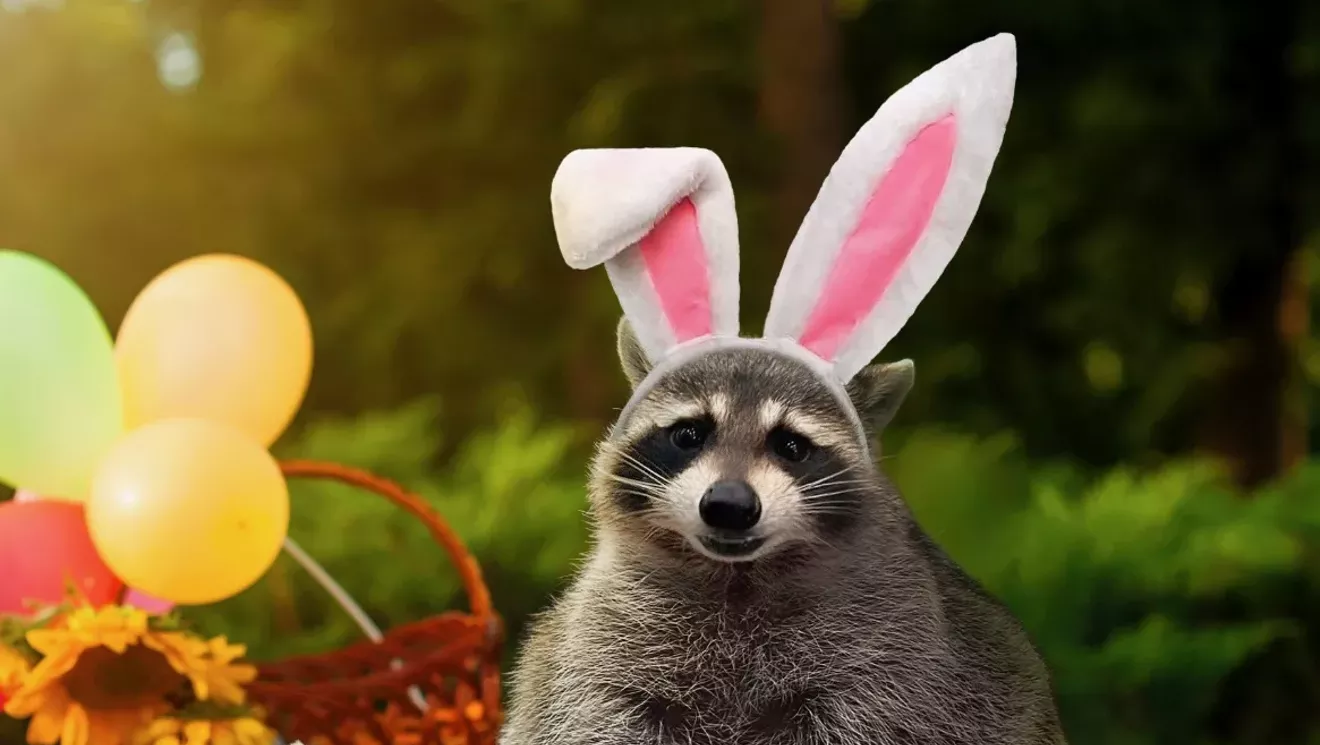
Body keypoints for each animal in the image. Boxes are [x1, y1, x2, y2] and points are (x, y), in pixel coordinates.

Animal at [499, 322, 1065, 745]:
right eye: (689, 433)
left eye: (791, 445)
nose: (729, 506)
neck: (736, 577)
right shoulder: (603, 647)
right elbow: (590, 711)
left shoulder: (892, 656)